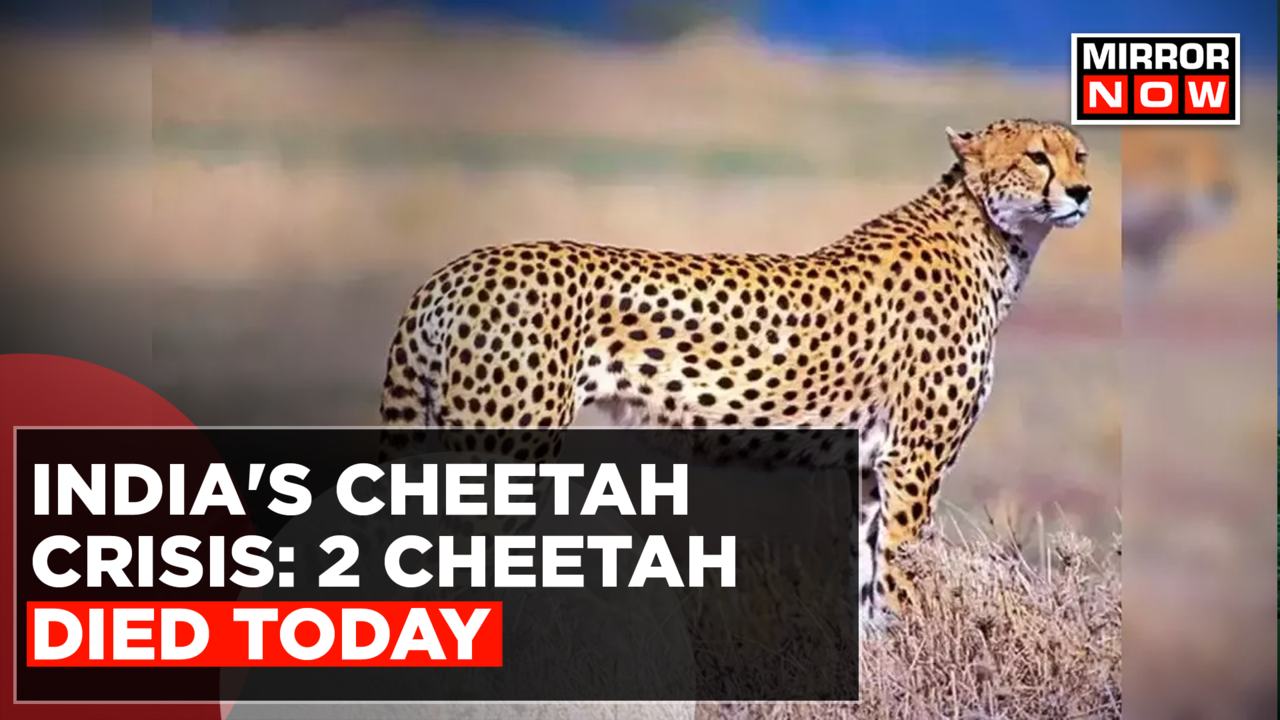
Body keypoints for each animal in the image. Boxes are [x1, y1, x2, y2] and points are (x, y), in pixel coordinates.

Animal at [376, 117, 1094, 636]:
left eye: (1081, 155)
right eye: (1038, 157)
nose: (1083, 192)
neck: (995, 240)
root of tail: (454, 271)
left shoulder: (869, 464)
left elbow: (869, 574)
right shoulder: (914, 459)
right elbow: (903, 568)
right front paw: (922, 645)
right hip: (505, 451)